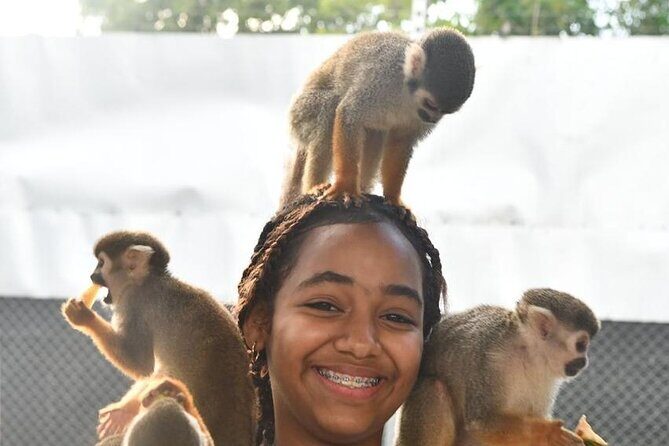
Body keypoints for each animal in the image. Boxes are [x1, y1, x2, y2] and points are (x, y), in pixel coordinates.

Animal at [62, 231, 257, 446]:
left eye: (101, 263)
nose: (92, 275)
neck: (147, 281)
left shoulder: (134, 303)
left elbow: (140, 364)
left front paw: (83, 317)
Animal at [280, 27, 475, 207]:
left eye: (444, 112)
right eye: (431, 104)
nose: (433, 119)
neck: (407, 92)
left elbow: (401, 141)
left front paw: (393, 198)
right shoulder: (381, 77)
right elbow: (349, 114)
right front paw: (346, 186)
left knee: (376, 134)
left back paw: (362, 188)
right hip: (300, 114)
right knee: (330, 108)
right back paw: (314, 186)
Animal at [397, 288, 601, 446]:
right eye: (581, 345)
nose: (584, 361)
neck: (528, 353)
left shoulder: (546, 376)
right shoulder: (489, 358)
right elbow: (482, 421)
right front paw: (547, 434)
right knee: (433, 388)